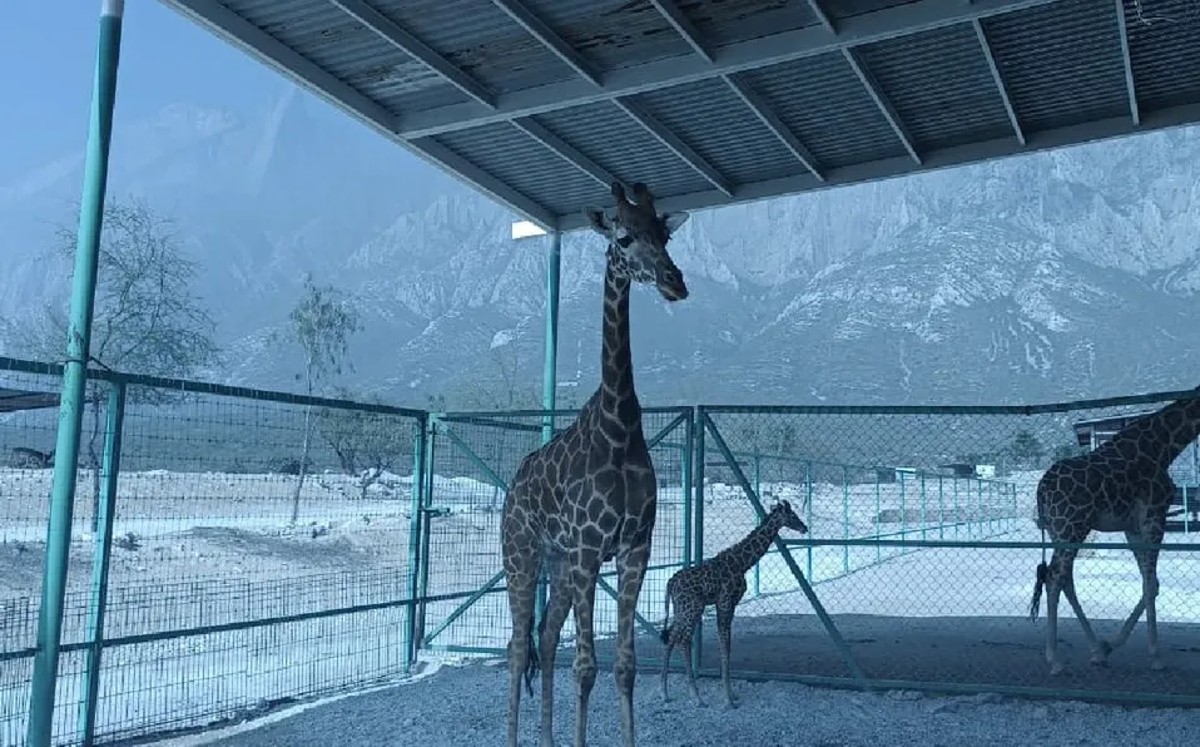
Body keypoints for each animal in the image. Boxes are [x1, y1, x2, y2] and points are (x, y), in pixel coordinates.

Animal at [501, 181, 690, 747]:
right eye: (624, 237)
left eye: (665, 234)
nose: (675, 282)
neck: (620, 425)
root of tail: (511, 487)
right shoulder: (589, 550)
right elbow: (585, 668)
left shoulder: (633, 549)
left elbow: (624, 667)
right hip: (521, 557)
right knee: (517, 648)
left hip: (559, 566)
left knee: (544, 635)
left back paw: (545, 739)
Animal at [659, 499, 808, 709]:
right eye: (792, 515)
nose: (804, 527)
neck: (742, 563)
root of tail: (670, 582)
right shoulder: (725, 602)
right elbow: (725, 644)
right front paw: (728, 699)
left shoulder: (730, 605)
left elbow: (727, 645)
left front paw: (732, 695)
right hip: (693, 608)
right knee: (684, 639)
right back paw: (696, 697)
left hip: (681, 608)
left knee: (672, 636)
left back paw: (664, 693)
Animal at [1028, 386, 1200, 675]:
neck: (1163, 446)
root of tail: (1041, 489)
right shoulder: (1154, 517)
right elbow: (1150, 583)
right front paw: (1156, 656)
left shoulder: (1132, 527)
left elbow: (1152, 583)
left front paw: (1108, 647)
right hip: (1072, 527)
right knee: (1054, 578)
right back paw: (1055, 659)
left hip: (1059, 532)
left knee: (1064, 579)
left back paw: (1096, 648)